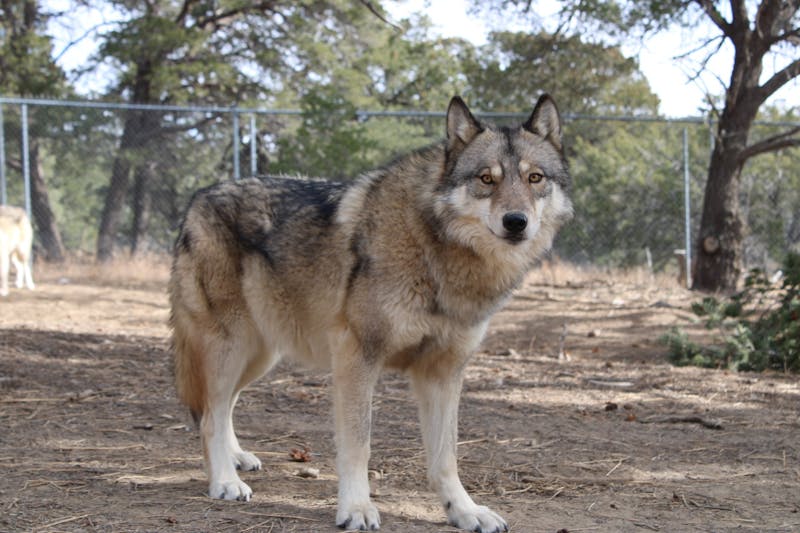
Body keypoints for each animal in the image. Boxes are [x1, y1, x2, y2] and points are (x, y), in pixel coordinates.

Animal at [169, 95, 573, 532]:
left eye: (534, 178)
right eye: (487, 179)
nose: (516, 222)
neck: (432, 245)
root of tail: (196, 198)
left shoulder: (444, 372)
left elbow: (446, 457)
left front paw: (464, 511)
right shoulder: (357, 357)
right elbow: (357, 446)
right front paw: (357, 508)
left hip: (260, 356)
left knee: (223, 405)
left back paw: (237, 459)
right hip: (231, 347)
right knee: (209, 415)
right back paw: (225, 481)